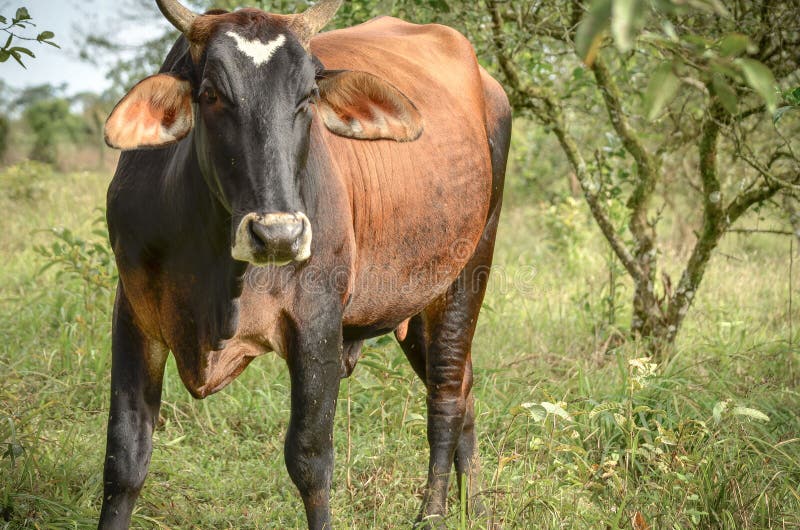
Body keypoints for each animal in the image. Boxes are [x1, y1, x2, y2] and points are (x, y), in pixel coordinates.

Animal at [98, 0, 511, 528]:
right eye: (211, 94)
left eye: (308, 96)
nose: (278, 234)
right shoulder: (135, 313)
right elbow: (126, 456)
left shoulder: (317, 323)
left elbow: (310, 460)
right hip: (416, 298)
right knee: (465, 383)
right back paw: (473, 501)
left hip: (469, 270)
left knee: (446, 392)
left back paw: (434, 512)